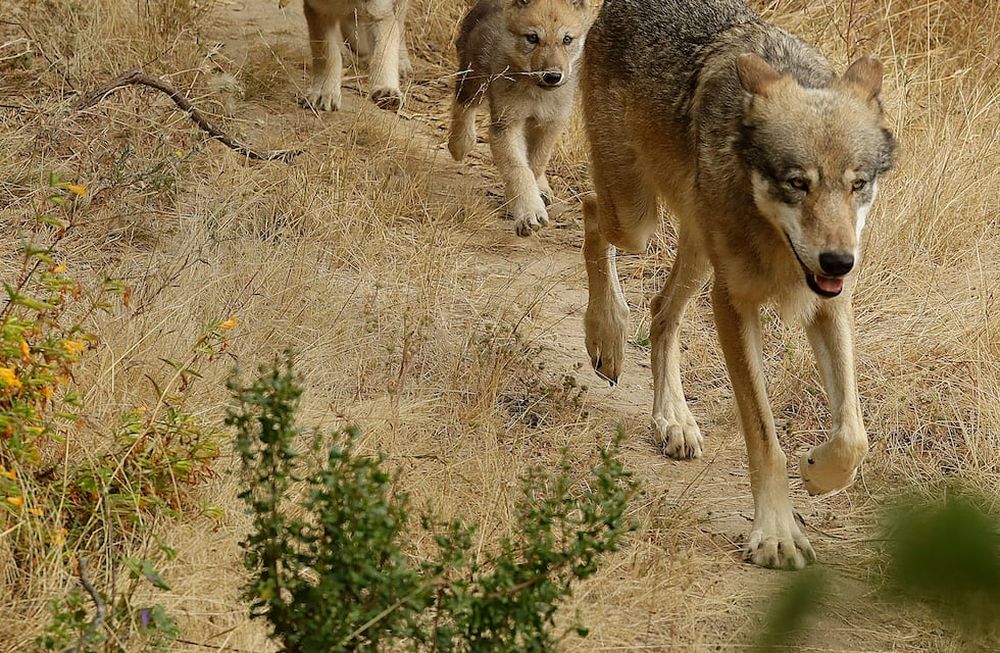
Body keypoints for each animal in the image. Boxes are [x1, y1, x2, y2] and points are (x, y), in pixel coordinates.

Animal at [448, 0, 591, 236]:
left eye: (567, 40)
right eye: (532, 38)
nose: (552, 76)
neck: (537, 95)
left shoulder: (551, 124)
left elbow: (536, 164)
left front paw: (526, 200)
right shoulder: (506, 125)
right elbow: (519, 170)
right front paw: (528, 212)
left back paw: (543, 188)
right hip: (474, 78)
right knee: (463, 105)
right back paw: (460, 144)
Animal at [581, 0, 896, 569]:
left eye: (857, 184)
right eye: (797, 183)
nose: (840, 262)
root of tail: (619, 6)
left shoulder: (829, 306)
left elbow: (853, 434)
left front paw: (819, 475)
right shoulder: (734, 304)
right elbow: (765, 436)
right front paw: (776, 535)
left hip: (697, 254)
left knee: (661, 311)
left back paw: (673, 420)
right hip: (637, 221)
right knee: (592, 214)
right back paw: (607, 336)